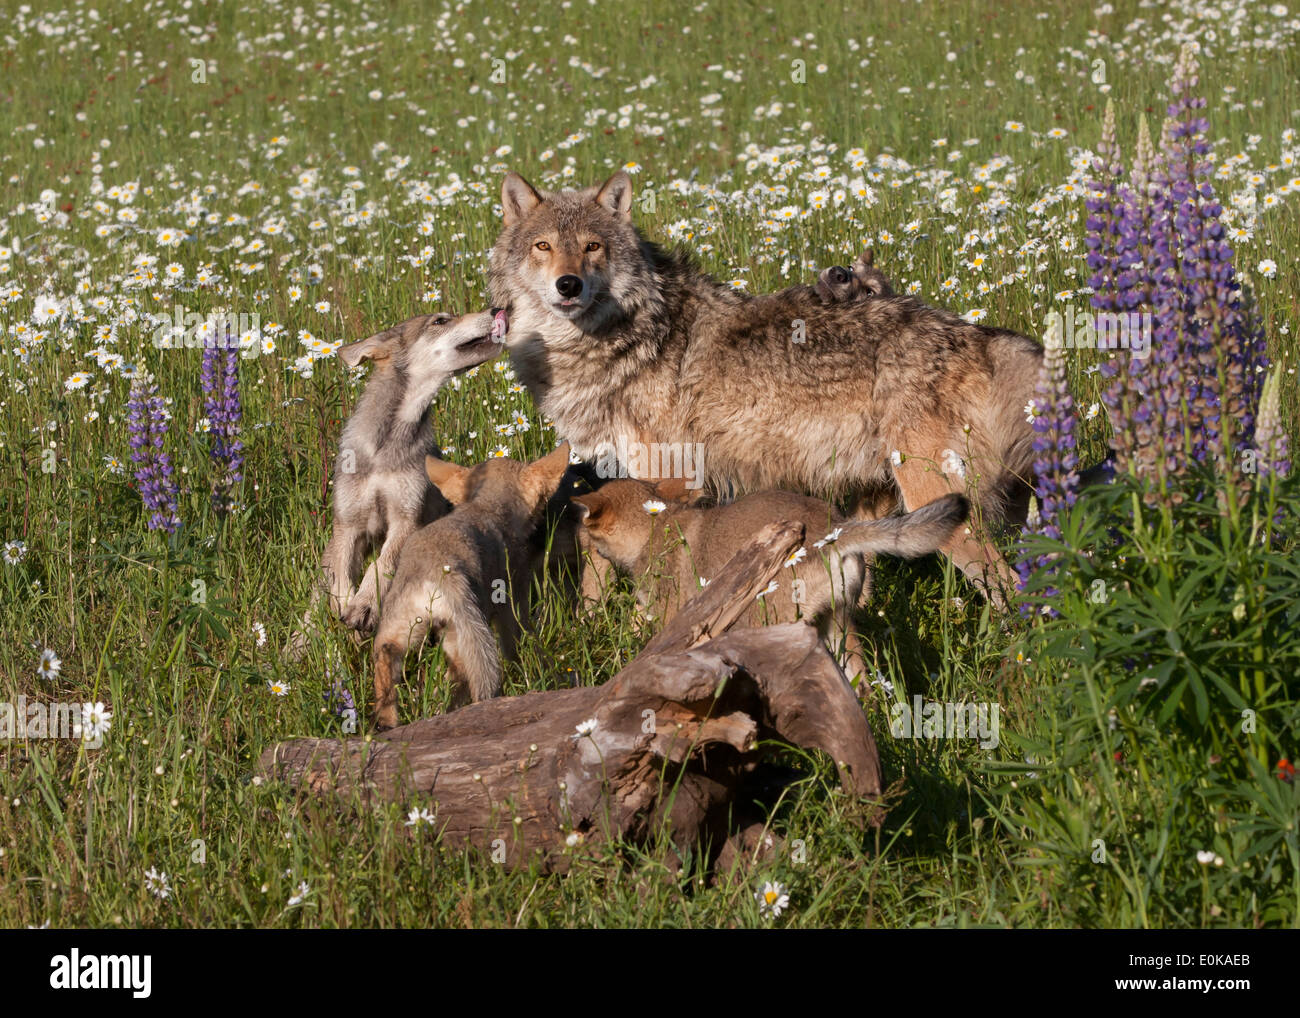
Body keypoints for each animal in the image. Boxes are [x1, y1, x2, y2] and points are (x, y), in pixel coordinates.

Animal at [310, 308, 508, 637]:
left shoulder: (406, 519)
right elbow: (342, 575)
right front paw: (347, 604)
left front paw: (364, 605)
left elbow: (381, 565)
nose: (495, 310)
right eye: (440, 321)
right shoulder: (349, 524)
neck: (387, 444)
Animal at [369, 444, 571, 729]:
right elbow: (521, 647)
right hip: (464, 638)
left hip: (399, 629)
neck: (486, 508)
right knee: (456, 685)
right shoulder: (514, 605)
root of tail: (437, 572)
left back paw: (387, 722)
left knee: (390, 664)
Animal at [488, 170, 1042, 602]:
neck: (619, 338)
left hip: (945, 511)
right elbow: (593, 547)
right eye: (544, 247)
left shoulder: (673, 482)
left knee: (1009, 589)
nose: (568, 285)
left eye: (592, 247)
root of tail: (982, 336)